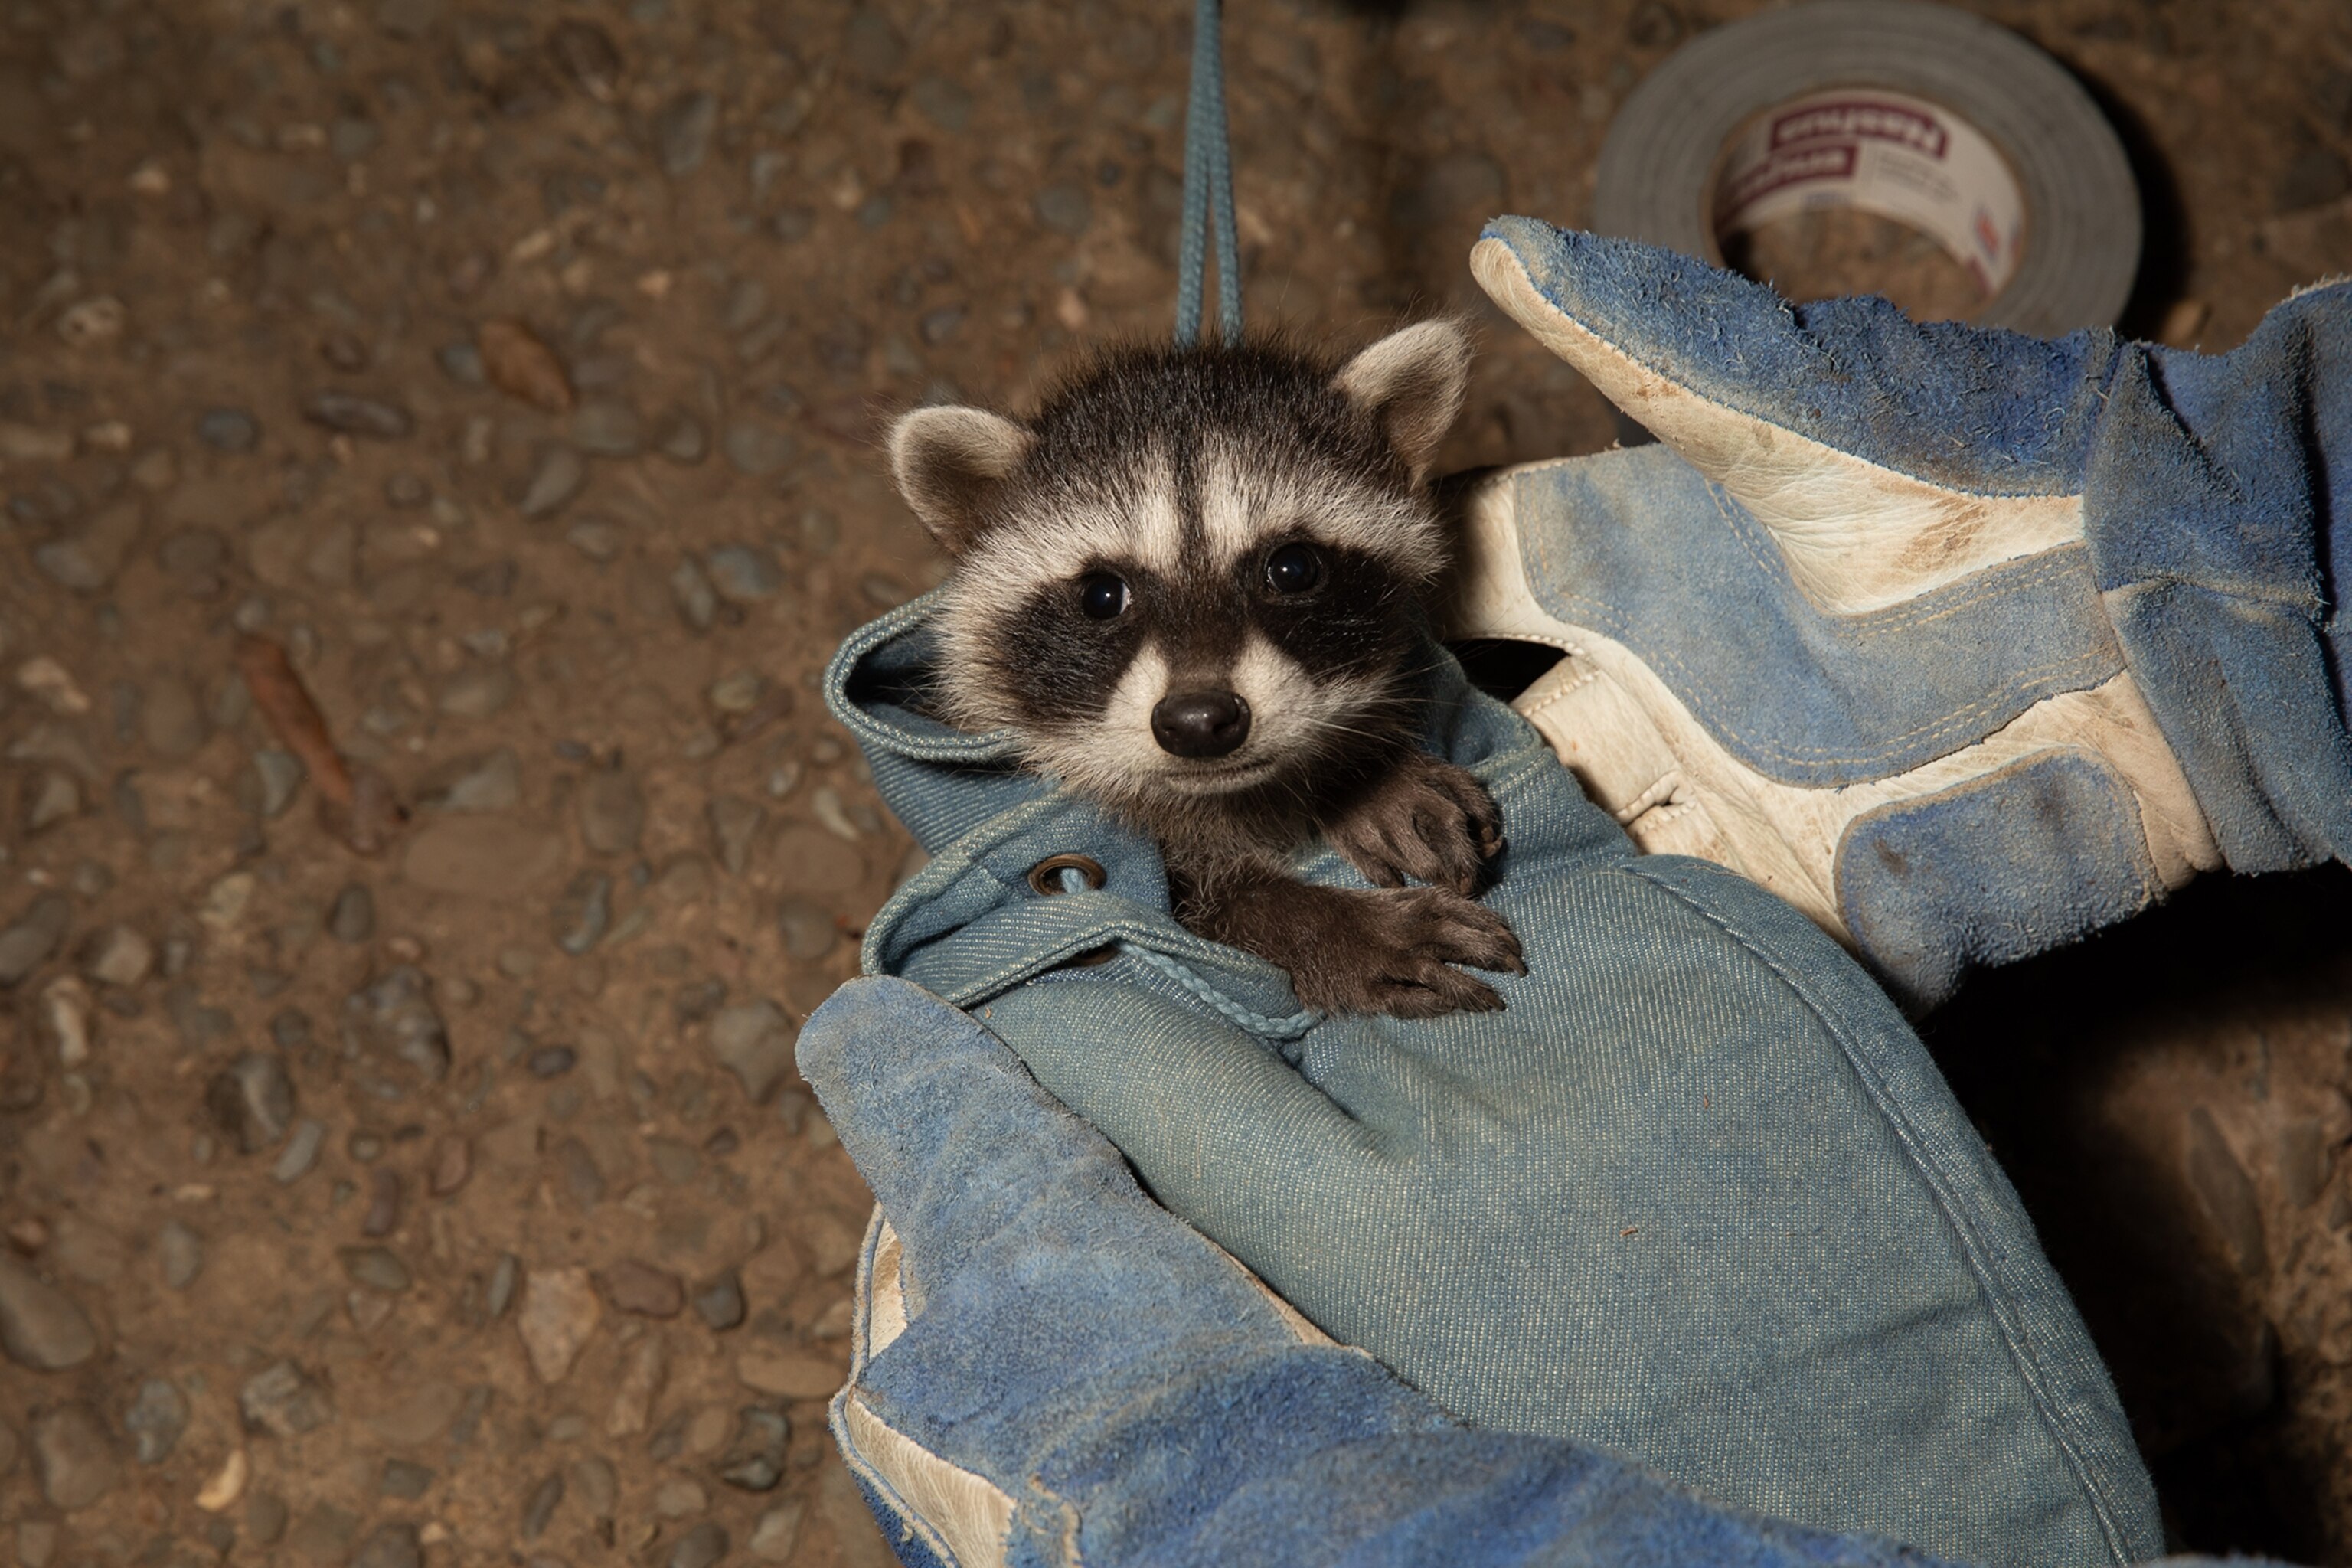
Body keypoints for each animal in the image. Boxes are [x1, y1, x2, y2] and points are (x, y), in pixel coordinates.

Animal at [886, 321, 1522, 1017]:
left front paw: (1359, 774)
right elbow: (1194, 910)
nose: (1198, 721)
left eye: (1293, 568)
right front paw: (1331, 926)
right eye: (1100, 596)